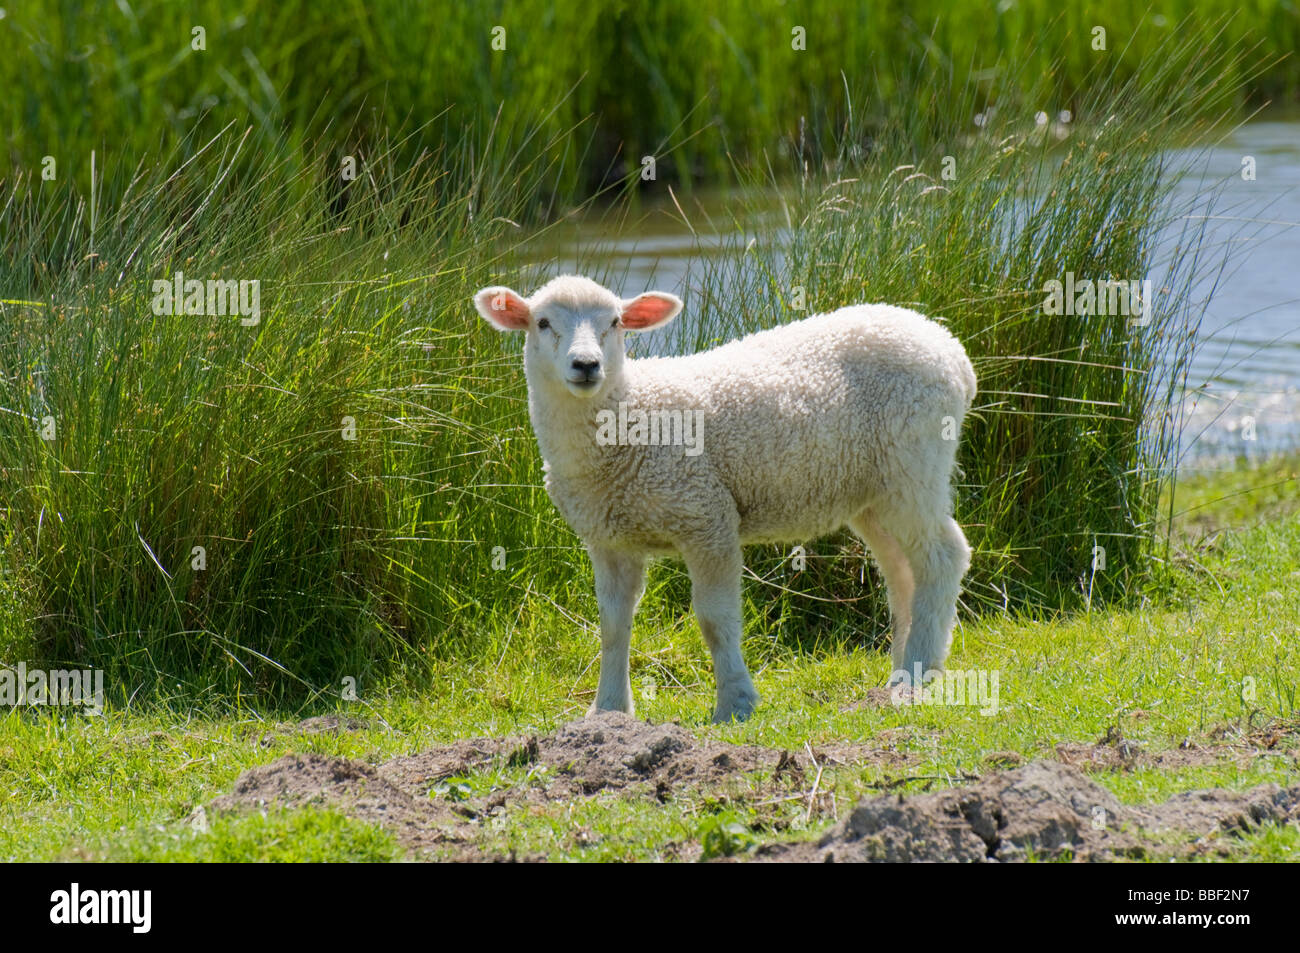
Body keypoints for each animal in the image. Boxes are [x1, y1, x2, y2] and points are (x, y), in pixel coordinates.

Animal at [473, 275, 976, 722]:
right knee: (902, 573)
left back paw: (919, 675)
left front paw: (735, 702)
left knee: (942, 556)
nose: (586, 365)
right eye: (542, 322)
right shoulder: (609, 539)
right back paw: (900, 672)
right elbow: (613, 625)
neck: (629, 418)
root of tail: (947, 345)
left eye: (615, 322)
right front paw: (608, 711)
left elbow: (715, 620)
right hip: (873, 491)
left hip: (914, 461)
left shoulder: (706, 516)